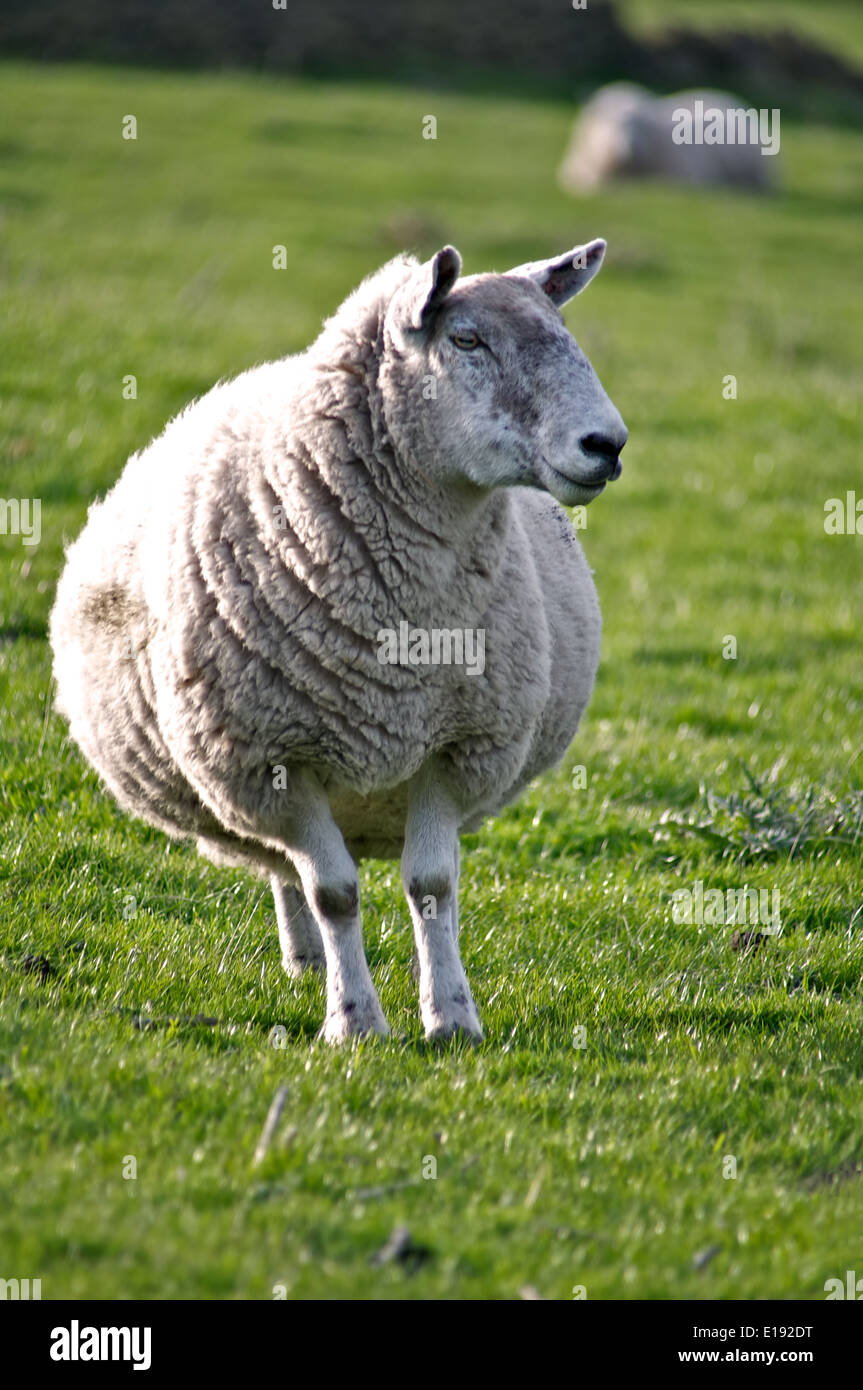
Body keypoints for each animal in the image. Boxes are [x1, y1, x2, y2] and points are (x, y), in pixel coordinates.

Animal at [50, 240, 627, 1043]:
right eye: (466, 340)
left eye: (561, 331)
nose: (606, 444)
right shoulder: (271, 762)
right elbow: (333, 895)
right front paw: (355, 1023)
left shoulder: (456, 747)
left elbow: (432, 885)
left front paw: (451, 1018)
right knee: (286, 870)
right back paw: (308, 964)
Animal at [559, 83, 777, 193]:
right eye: (608, 120)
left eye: (639, 122)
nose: (631, 148)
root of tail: (726, 95)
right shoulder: (575, 173)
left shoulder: (680, 178)